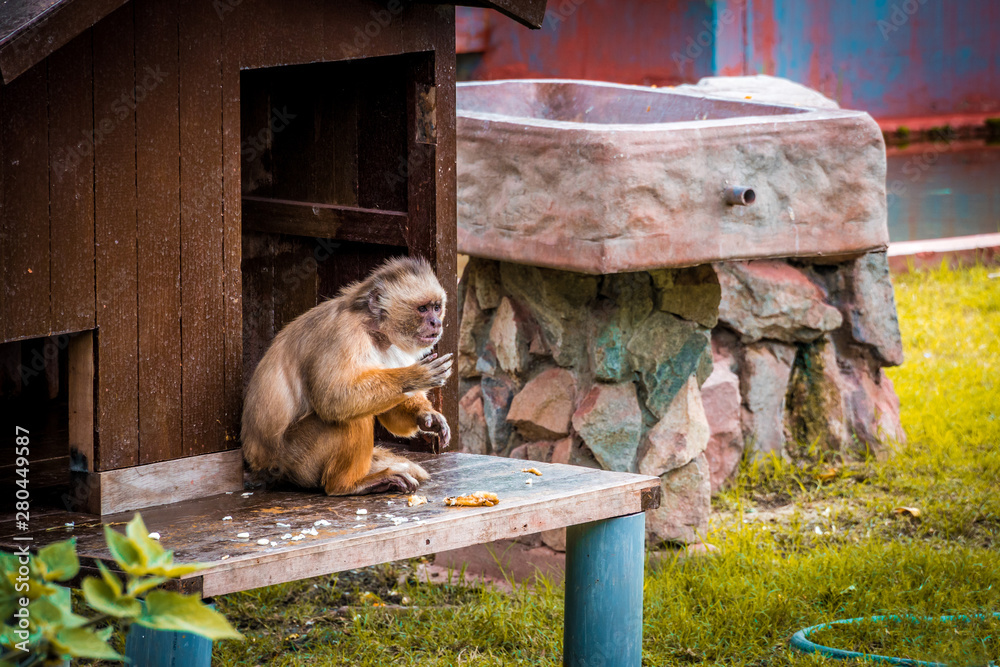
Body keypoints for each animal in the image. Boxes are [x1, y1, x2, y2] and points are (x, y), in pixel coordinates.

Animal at [241, 256, 453, 496]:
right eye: (423, 309)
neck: (373, 330)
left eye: (437, 308)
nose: (436, 322)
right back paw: (347, 485)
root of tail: (257, 464)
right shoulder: (343, 334)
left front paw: (427, 417)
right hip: (292, 461)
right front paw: (413, 376)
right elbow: (332, 400)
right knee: (347, 415)